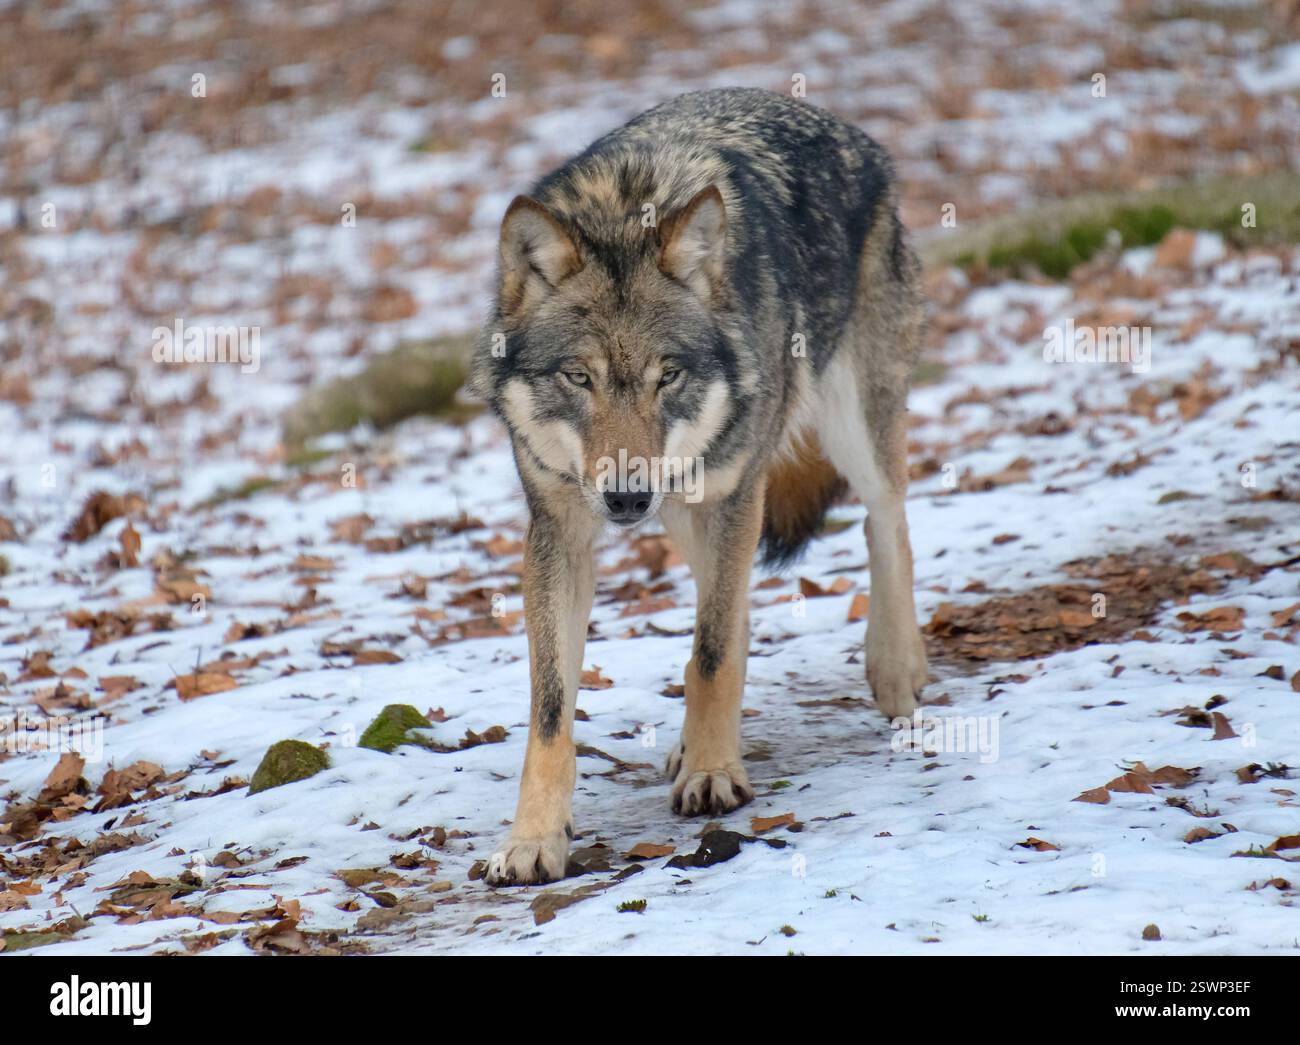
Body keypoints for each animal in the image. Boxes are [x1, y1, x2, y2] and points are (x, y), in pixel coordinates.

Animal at [473, 88, 928, 884]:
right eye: (579, 378)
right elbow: (553, 708)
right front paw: (533, 839)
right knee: (738, 605)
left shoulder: (734, 494)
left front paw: (714, 774)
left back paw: (898, 669)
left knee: (886, 518)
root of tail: (848, 128)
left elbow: (710, 654)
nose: (625, 497)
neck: (625, 208)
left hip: (838, 429)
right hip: (684, 508)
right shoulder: (559, 531)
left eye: (669, 375)